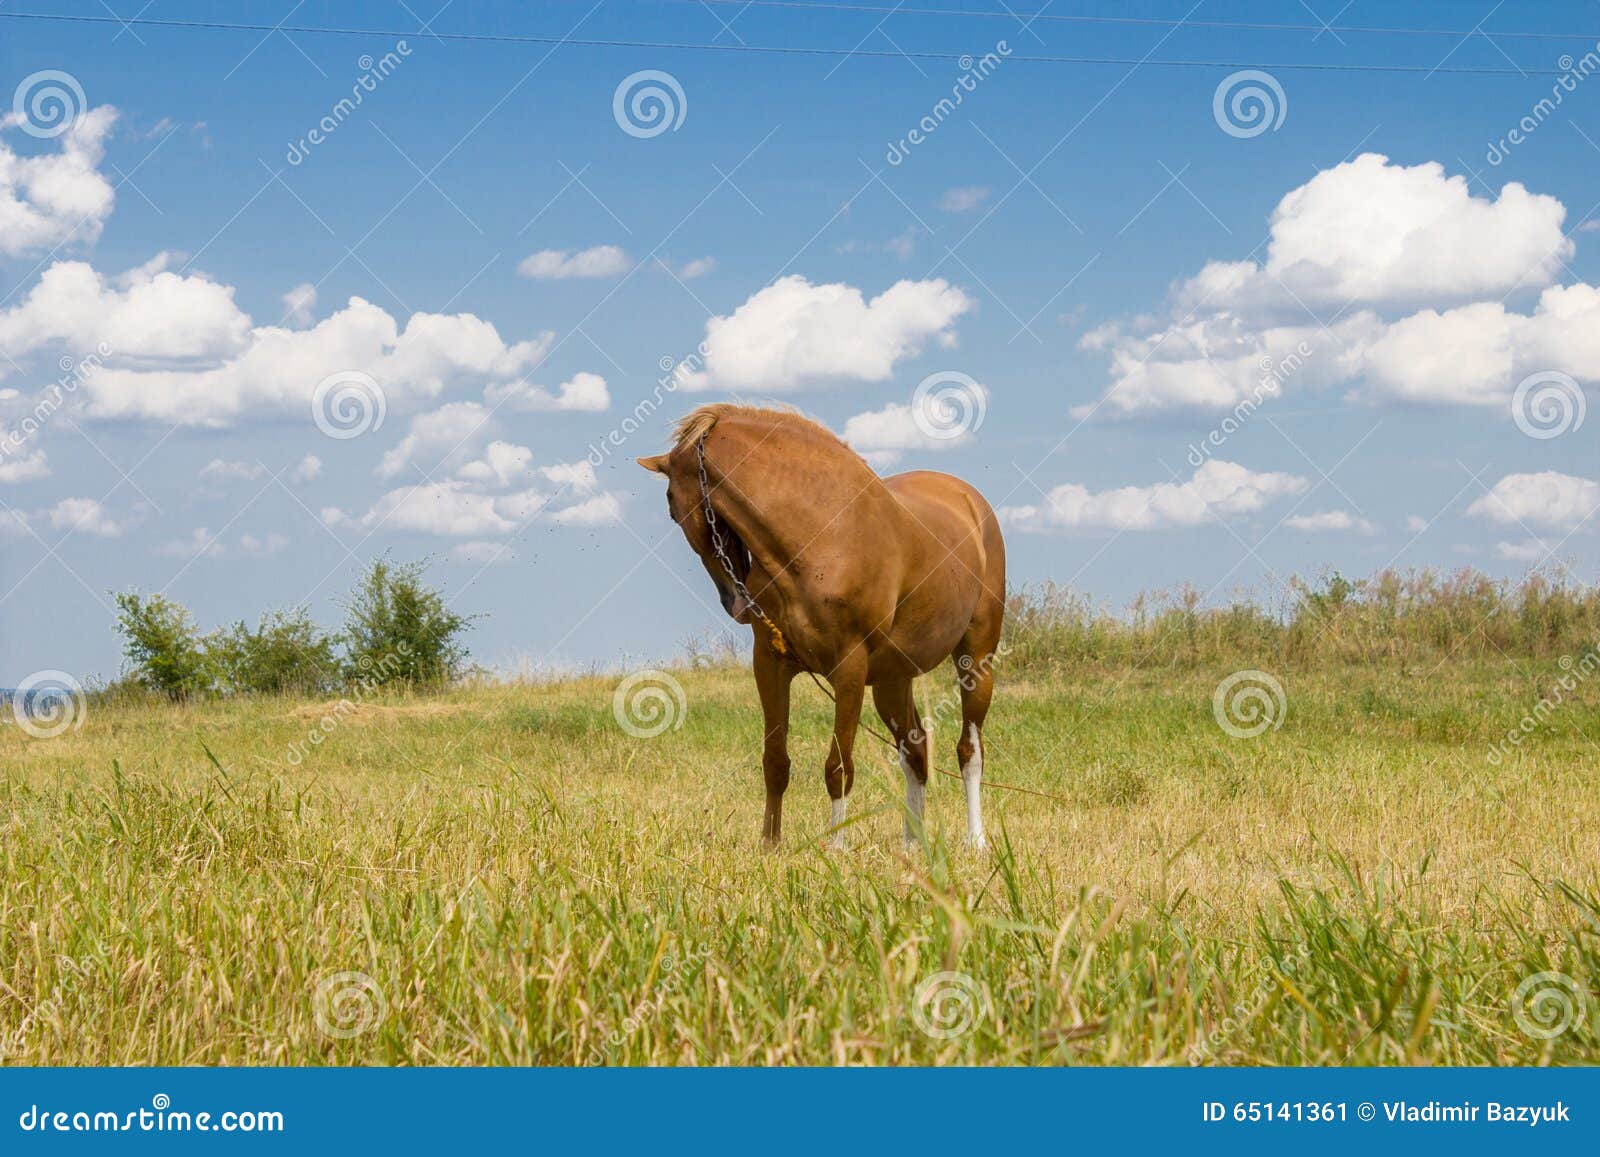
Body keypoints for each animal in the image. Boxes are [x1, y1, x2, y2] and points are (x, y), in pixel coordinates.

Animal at [637, 404, 1006, 851]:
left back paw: (976, 841)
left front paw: (835, 848)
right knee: (915, 750)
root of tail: (971, 503)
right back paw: (911, 845)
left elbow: (839, 767)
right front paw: (770, 845)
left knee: (969, 750)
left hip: (975, 658)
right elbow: (775, 762)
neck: (823, 533)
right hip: (892, 680)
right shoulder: (770, 664)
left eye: (673, 506)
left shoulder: (849, 669)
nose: (735, 604)